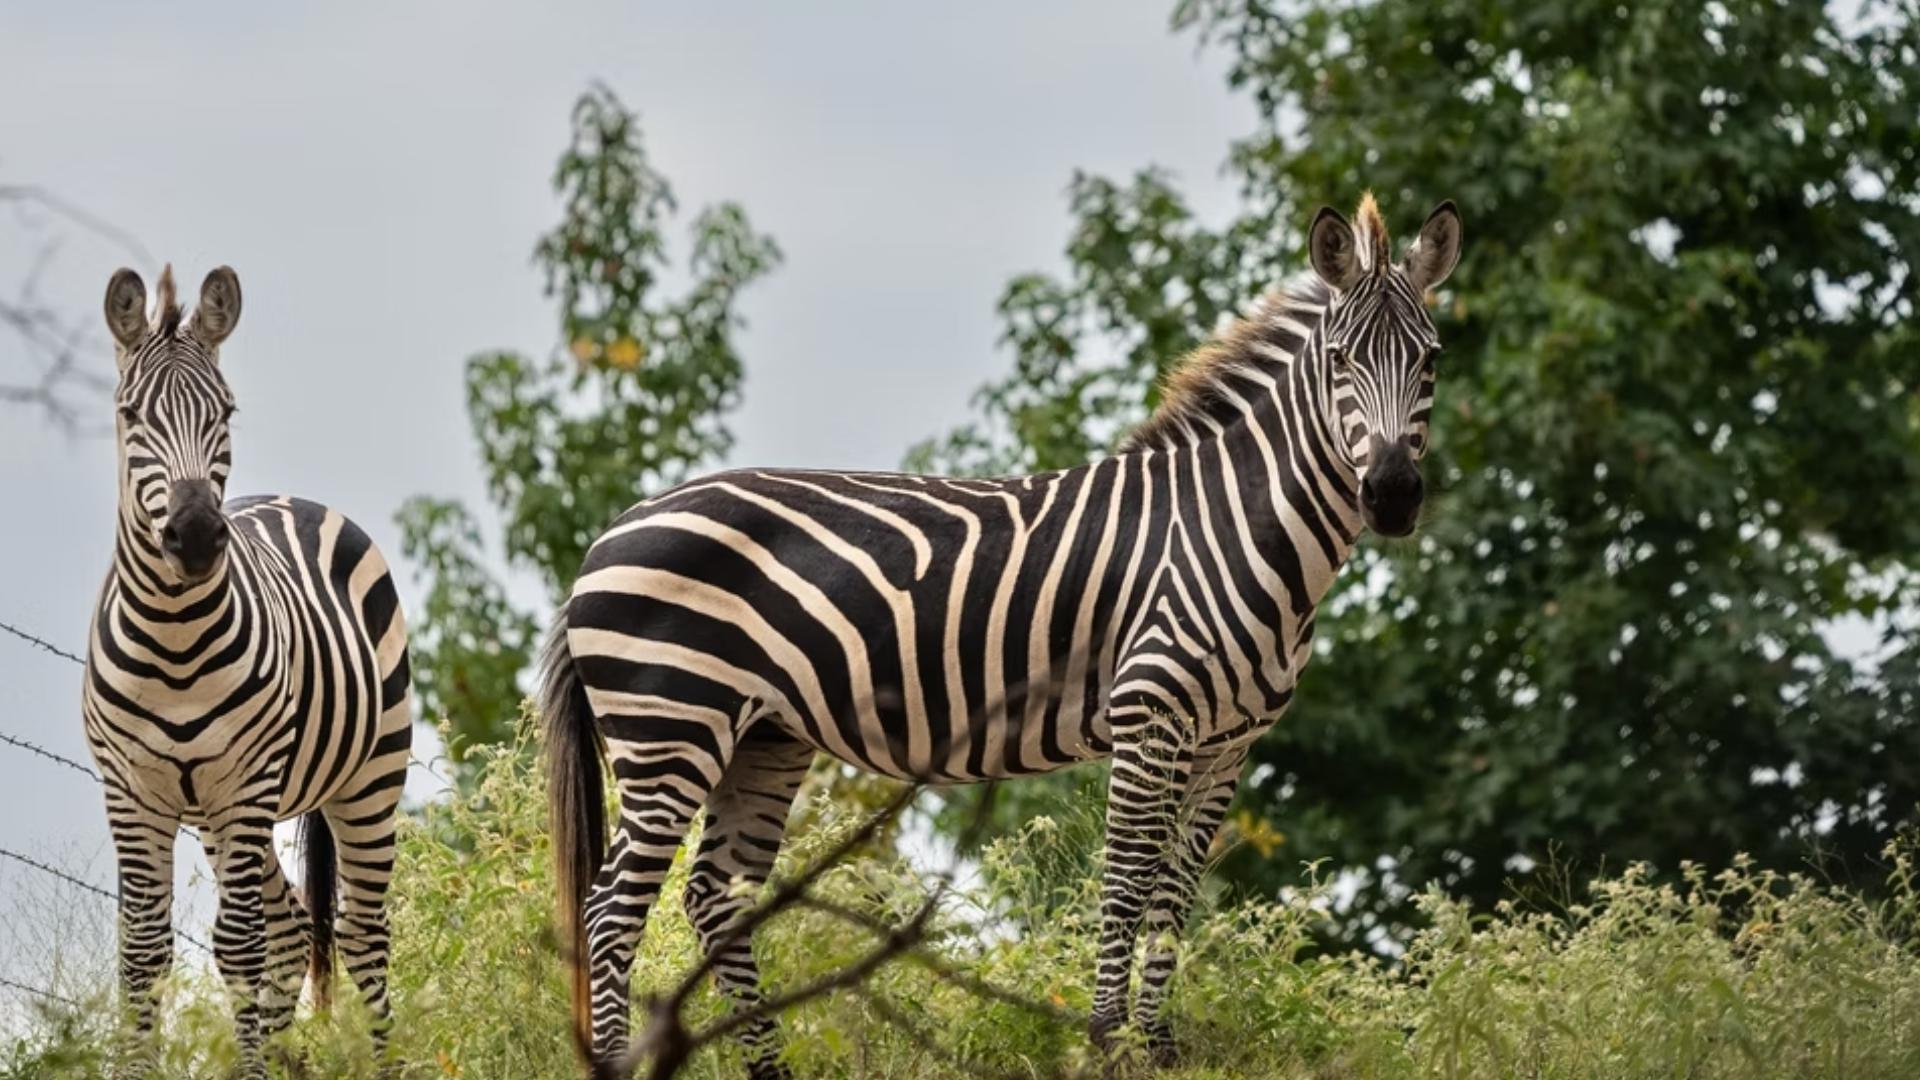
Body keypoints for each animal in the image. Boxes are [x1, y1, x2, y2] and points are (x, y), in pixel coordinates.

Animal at [83, 265, 413, 1077]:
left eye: (226, 411)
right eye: (130, 414)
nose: (199, 534)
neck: (173, 638)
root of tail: (298, 497)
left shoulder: (246, 781)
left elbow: (237, 948)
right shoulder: (129, 790)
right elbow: (143, 954)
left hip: (368, 776)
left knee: (361, 935)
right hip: (219, 811)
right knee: (294, 926)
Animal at [541, 193, 1463, 1077]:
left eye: (1432, 360)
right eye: (1340, 360)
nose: (1391, 494)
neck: (1235, 526)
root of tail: (609, 532)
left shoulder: (1228, 742)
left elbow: (1174, 893)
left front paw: (1162, 1050)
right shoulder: (1150, 714)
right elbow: (1126, 881)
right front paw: (1106, 1045)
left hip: (764, 735)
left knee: (714, 895)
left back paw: (769, 1069)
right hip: (671, 724)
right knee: (612, 908)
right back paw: (620, 1063)